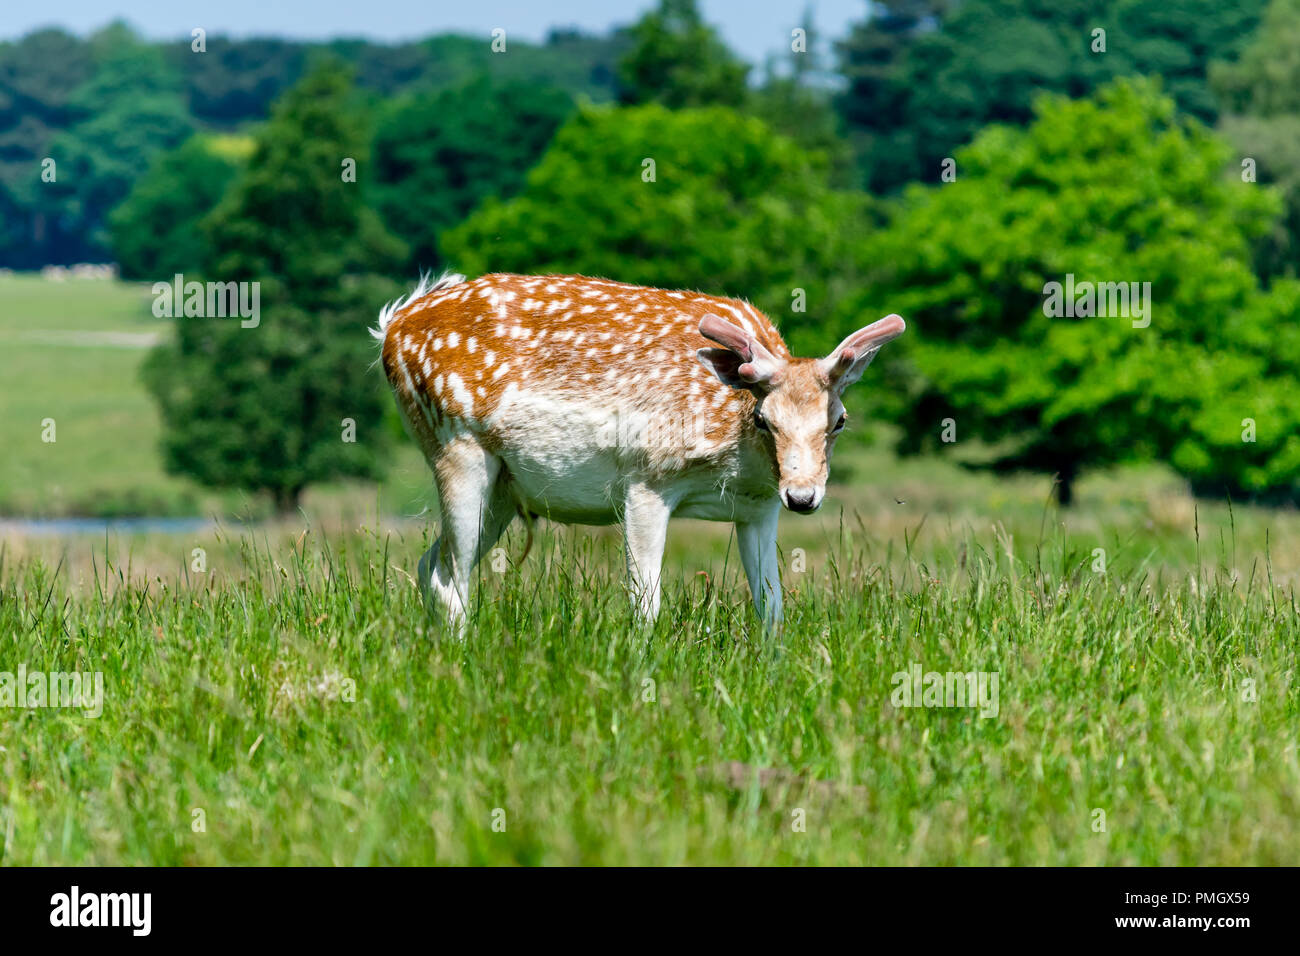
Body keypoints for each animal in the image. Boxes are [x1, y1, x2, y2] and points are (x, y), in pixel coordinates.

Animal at [375, 272, 905, 632]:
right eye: (763, 419)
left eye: (839, 420)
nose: (802, 496)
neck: (738, 461)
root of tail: (391, 327)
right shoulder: (647, 480)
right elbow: (645, 603)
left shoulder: (757, 509)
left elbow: (770, 606)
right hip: (456, 446)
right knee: (452, 579)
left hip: (505, 489)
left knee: (430, 564)